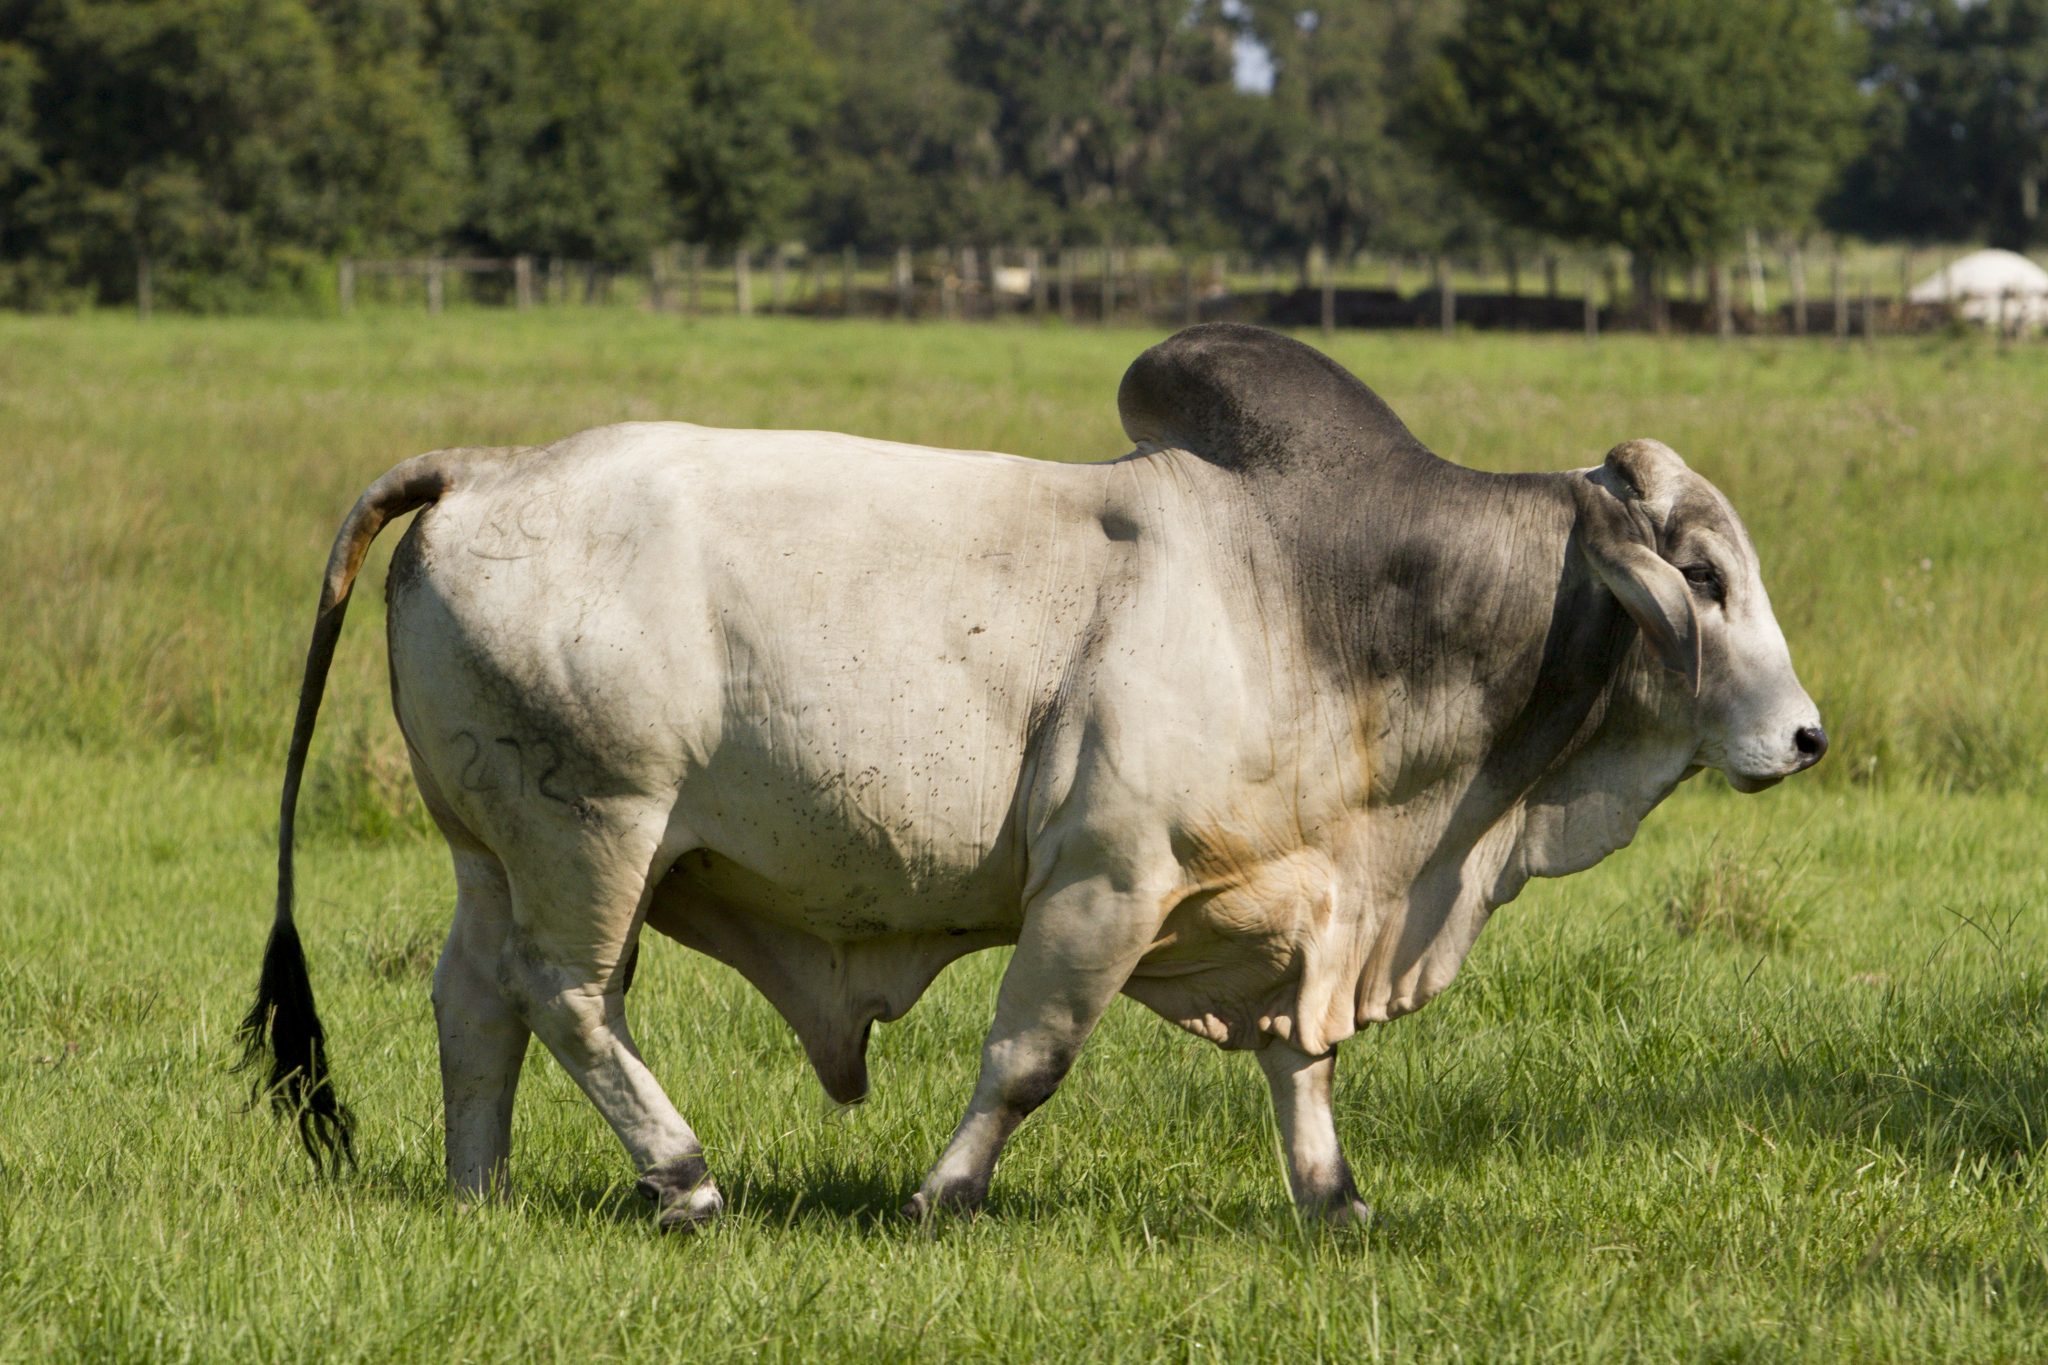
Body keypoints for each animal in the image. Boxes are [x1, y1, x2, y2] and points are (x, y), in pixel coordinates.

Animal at [240, 323, 1826, 1228]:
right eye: (1699, 576)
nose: (1806, 737)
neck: (1317, 596)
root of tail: (484, 467)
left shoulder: (1295, 905)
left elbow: (1302, 1067)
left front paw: (1335, 1201)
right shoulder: (1102, 880)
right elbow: (1029, 1056)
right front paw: (944, 1194)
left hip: (493, 845)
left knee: (475, 1001)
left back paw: (480, 1189)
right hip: (595, 831)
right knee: (569, 996)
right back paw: (682, 1180)